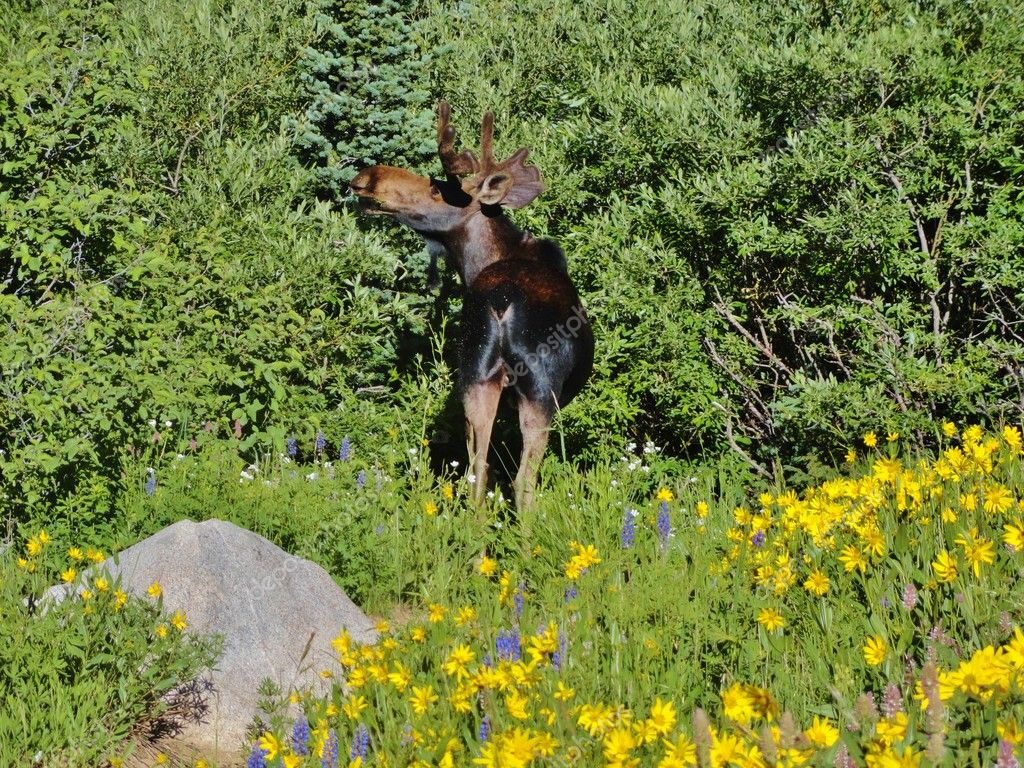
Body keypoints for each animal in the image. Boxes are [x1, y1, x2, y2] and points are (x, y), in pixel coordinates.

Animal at [349, 101, 594, 509]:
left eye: (437, 189)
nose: (366, 177)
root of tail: (502, 306)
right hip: (540, 388)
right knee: (522, 481)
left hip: (475, 374)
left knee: (477, 470)